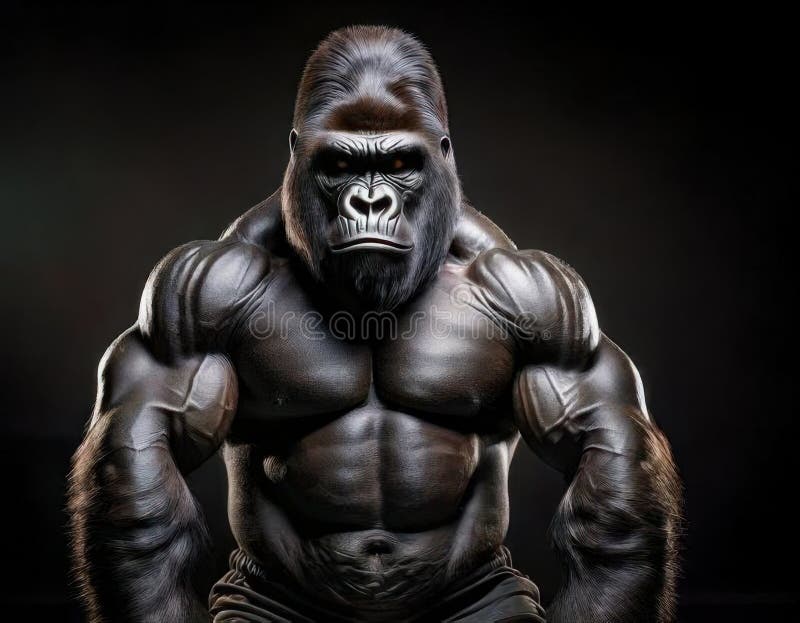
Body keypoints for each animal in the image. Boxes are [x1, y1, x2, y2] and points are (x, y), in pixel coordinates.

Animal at [69, 25, 681, 622]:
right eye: (340, 167)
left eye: (398, 166)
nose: (369, 203)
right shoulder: (193, 287)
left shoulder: (549, 298)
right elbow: (149, 473)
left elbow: (600, 476)